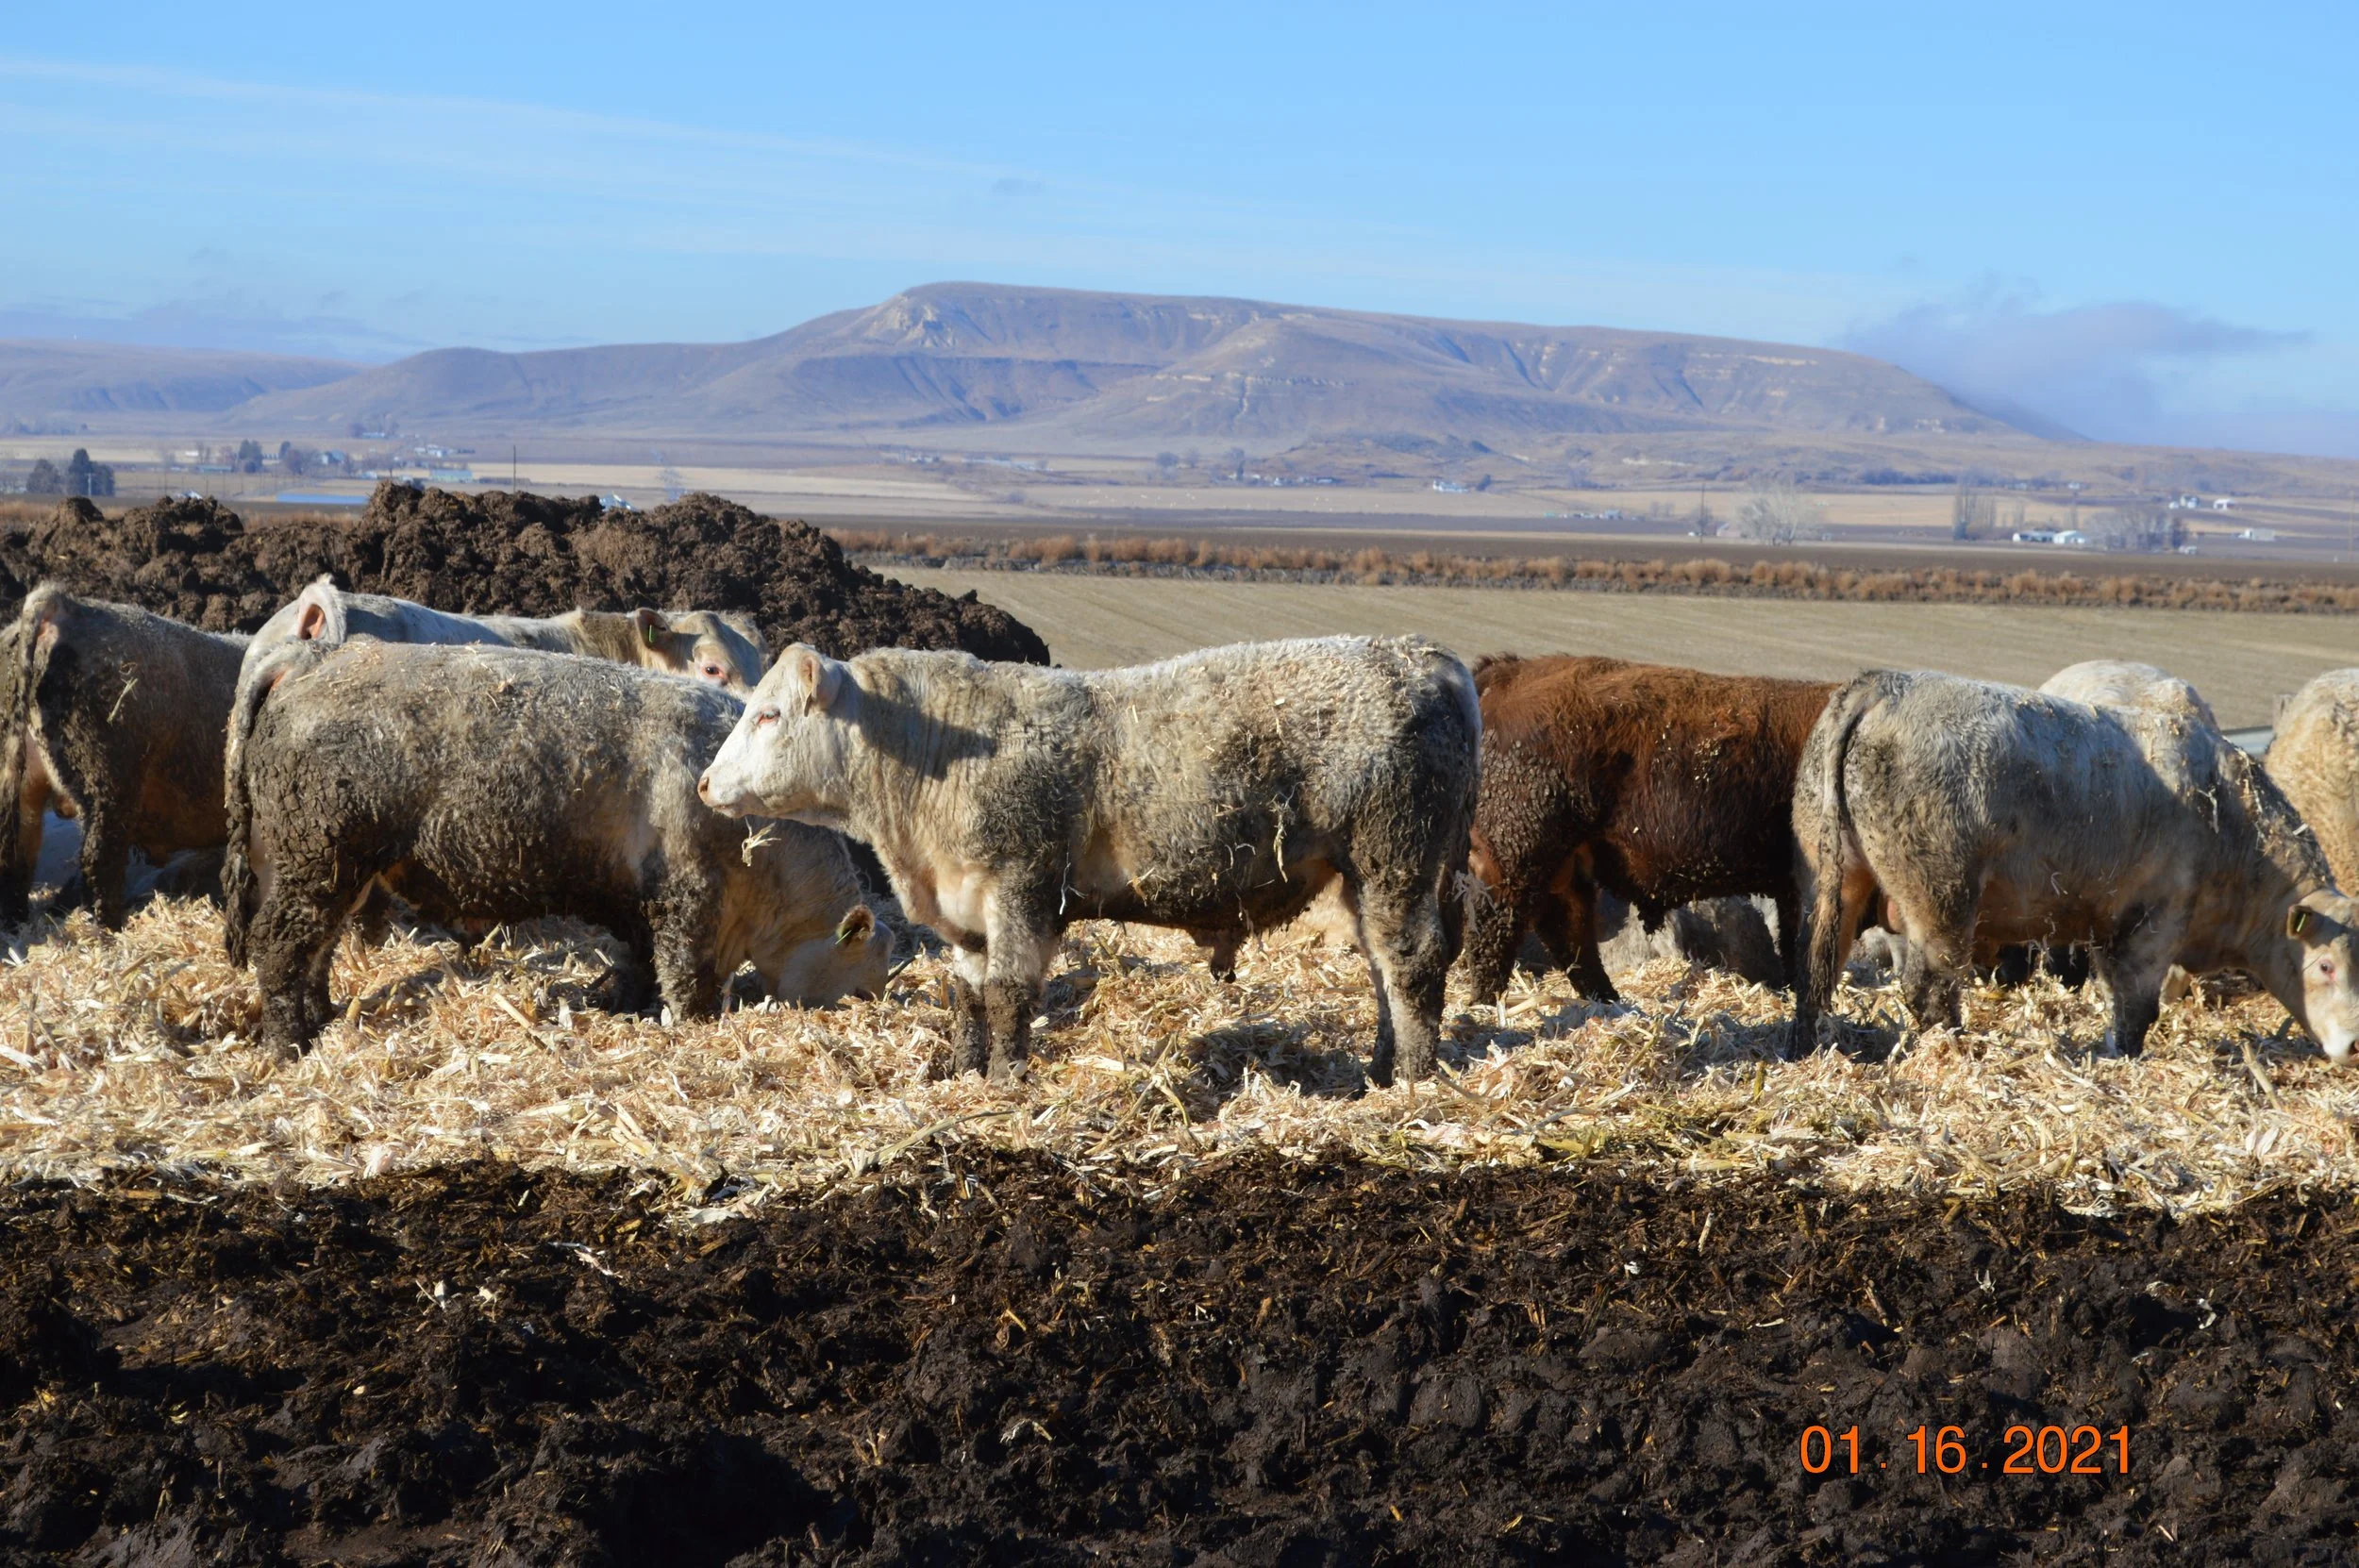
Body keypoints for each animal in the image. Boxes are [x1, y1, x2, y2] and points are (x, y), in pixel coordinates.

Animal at [0, 586, 249, 929]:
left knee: (17, 856)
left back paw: (18, 925)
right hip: (109, 778)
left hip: (22, 780)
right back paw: (109, 927)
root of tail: (65, 605)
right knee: (96, 859)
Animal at [222, 639, 892, 1056]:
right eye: (864, 973)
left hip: (338, 872)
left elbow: (639, 962)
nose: (875, 1011)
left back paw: (321, 1018)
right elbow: (686, 980)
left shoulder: (641, 903)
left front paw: (620, 1001)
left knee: (314, 951)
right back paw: (291, 1042)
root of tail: (316, 656)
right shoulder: (690, 899)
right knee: (280, 947)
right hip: (320, 861)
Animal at [695, 637, 1481, 1086]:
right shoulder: (962, 908)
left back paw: (1411, 1079)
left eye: (768, 714)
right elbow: (970, 996)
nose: (704, 784)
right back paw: (1378, 1070)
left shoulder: (1019, 886)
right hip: (1365, 874)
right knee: (1382, 968)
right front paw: (965, 1074)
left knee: (1411, 963)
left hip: (1396, 856)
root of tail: (1424, 658)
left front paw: (1006, 1082)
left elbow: (1010, 992)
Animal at [1456, 654, 1836, 1003]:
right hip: (1515, 864)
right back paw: (1487, 1005)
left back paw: (1609, 1002)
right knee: (1497, 935)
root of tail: (1509, 672)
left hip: (1561, 868)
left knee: (1569, 937)